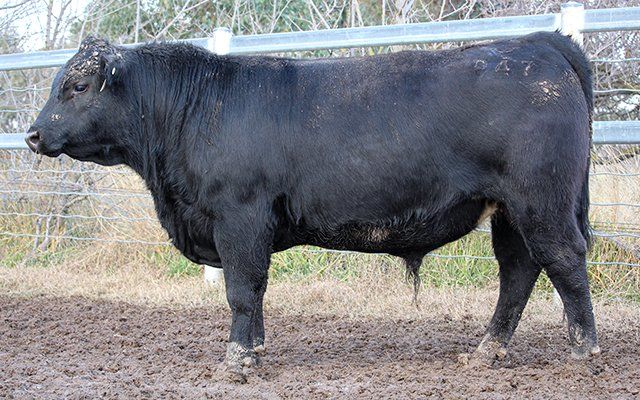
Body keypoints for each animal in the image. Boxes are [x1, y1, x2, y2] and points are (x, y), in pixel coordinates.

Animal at [26, 31, 599, 381]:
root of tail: (538, 43)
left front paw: (236, 362)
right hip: (508, 211)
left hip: (541, 201)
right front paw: (255, 351)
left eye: (78, 86)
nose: (32, 133)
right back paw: (486, 351)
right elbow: (255, 294)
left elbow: (241, 291)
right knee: (518, 273)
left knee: (566, 262)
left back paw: (584, 351)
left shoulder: (239, 217)